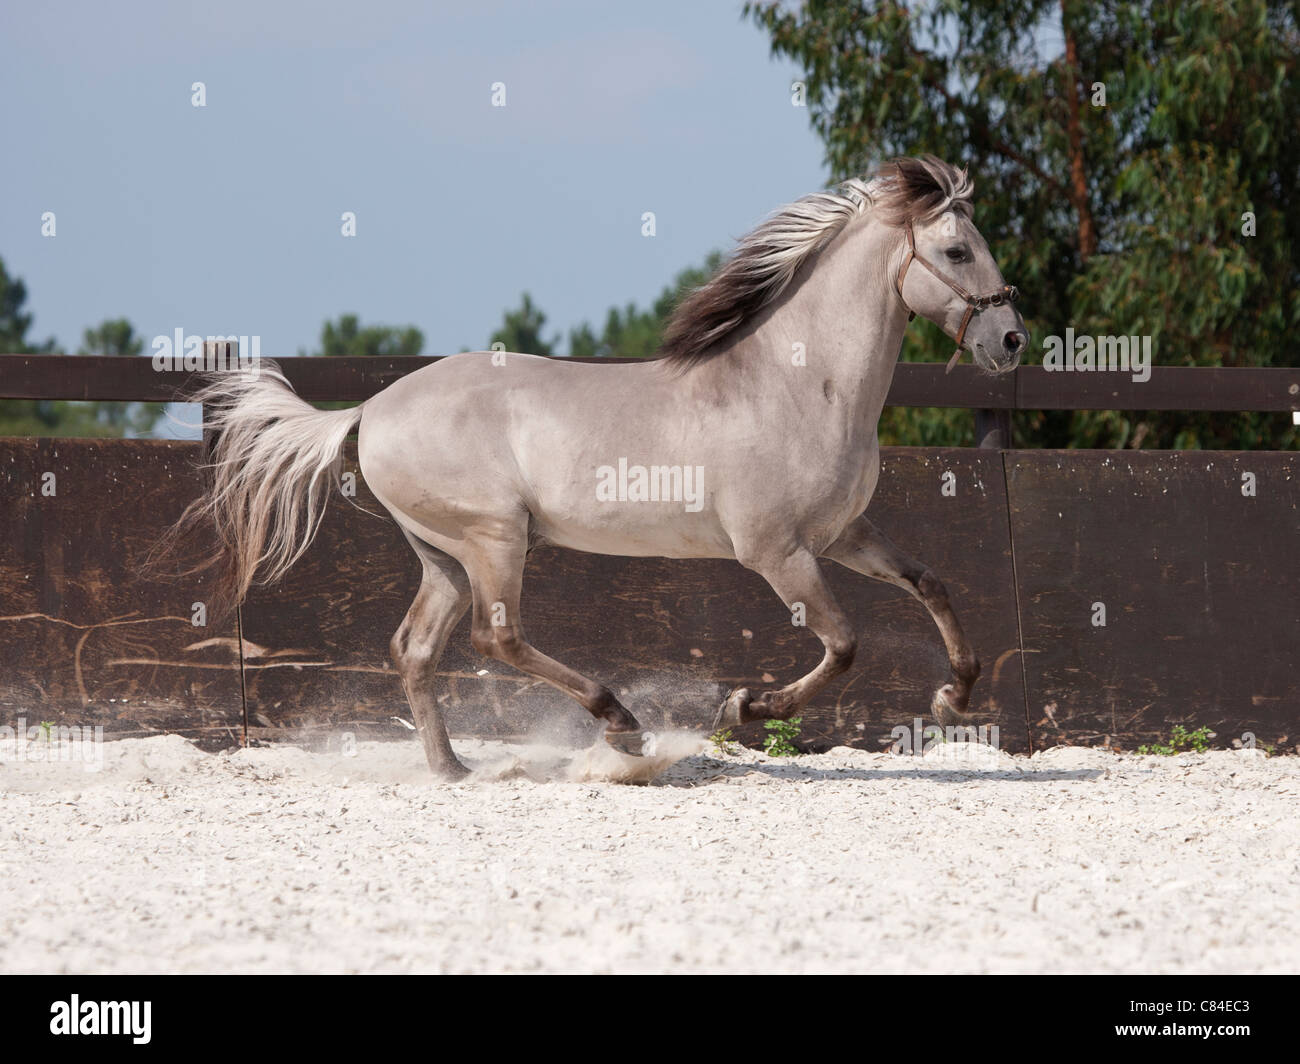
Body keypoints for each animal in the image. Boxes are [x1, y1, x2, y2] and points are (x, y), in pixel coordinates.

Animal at [175, 155, 1027, 779]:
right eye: (957, 250)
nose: (1013, 340)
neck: (797, 382)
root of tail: (370, 409)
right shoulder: (777, 552)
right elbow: (844, 643)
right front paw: (740, 710)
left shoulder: (845, 534)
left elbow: (931, 584)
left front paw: (952, 697)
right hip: (495, 538)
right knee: (497, 640)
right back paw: (622, 727)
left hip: (444, 556)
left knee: (416, 649)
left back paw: (455, 771)